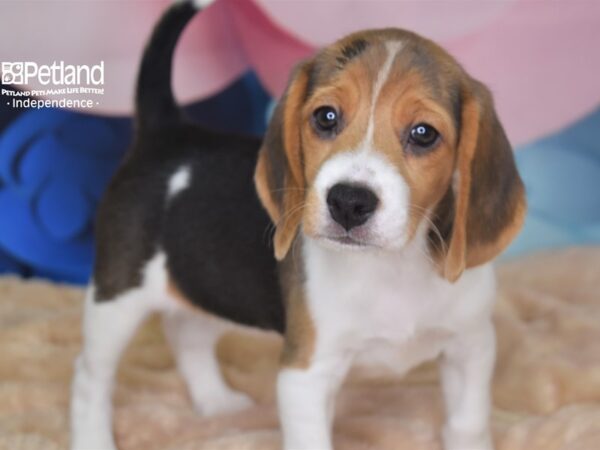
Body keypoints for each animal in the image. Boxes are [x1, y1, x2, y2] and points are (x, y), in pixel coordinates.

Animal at [70, 0, 524, 450]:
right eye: (326, 117)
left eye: (424, 133)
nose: (348, 201)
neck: (391, 267)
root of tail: (166, 129)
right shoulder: (305, 374)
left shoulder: (472, 347)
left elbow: (468, 424)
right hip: (116, 300)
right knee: (90, 378)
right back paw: (93, 437)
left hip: (204, 281)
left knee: (187, 335)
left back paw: (215, 402)